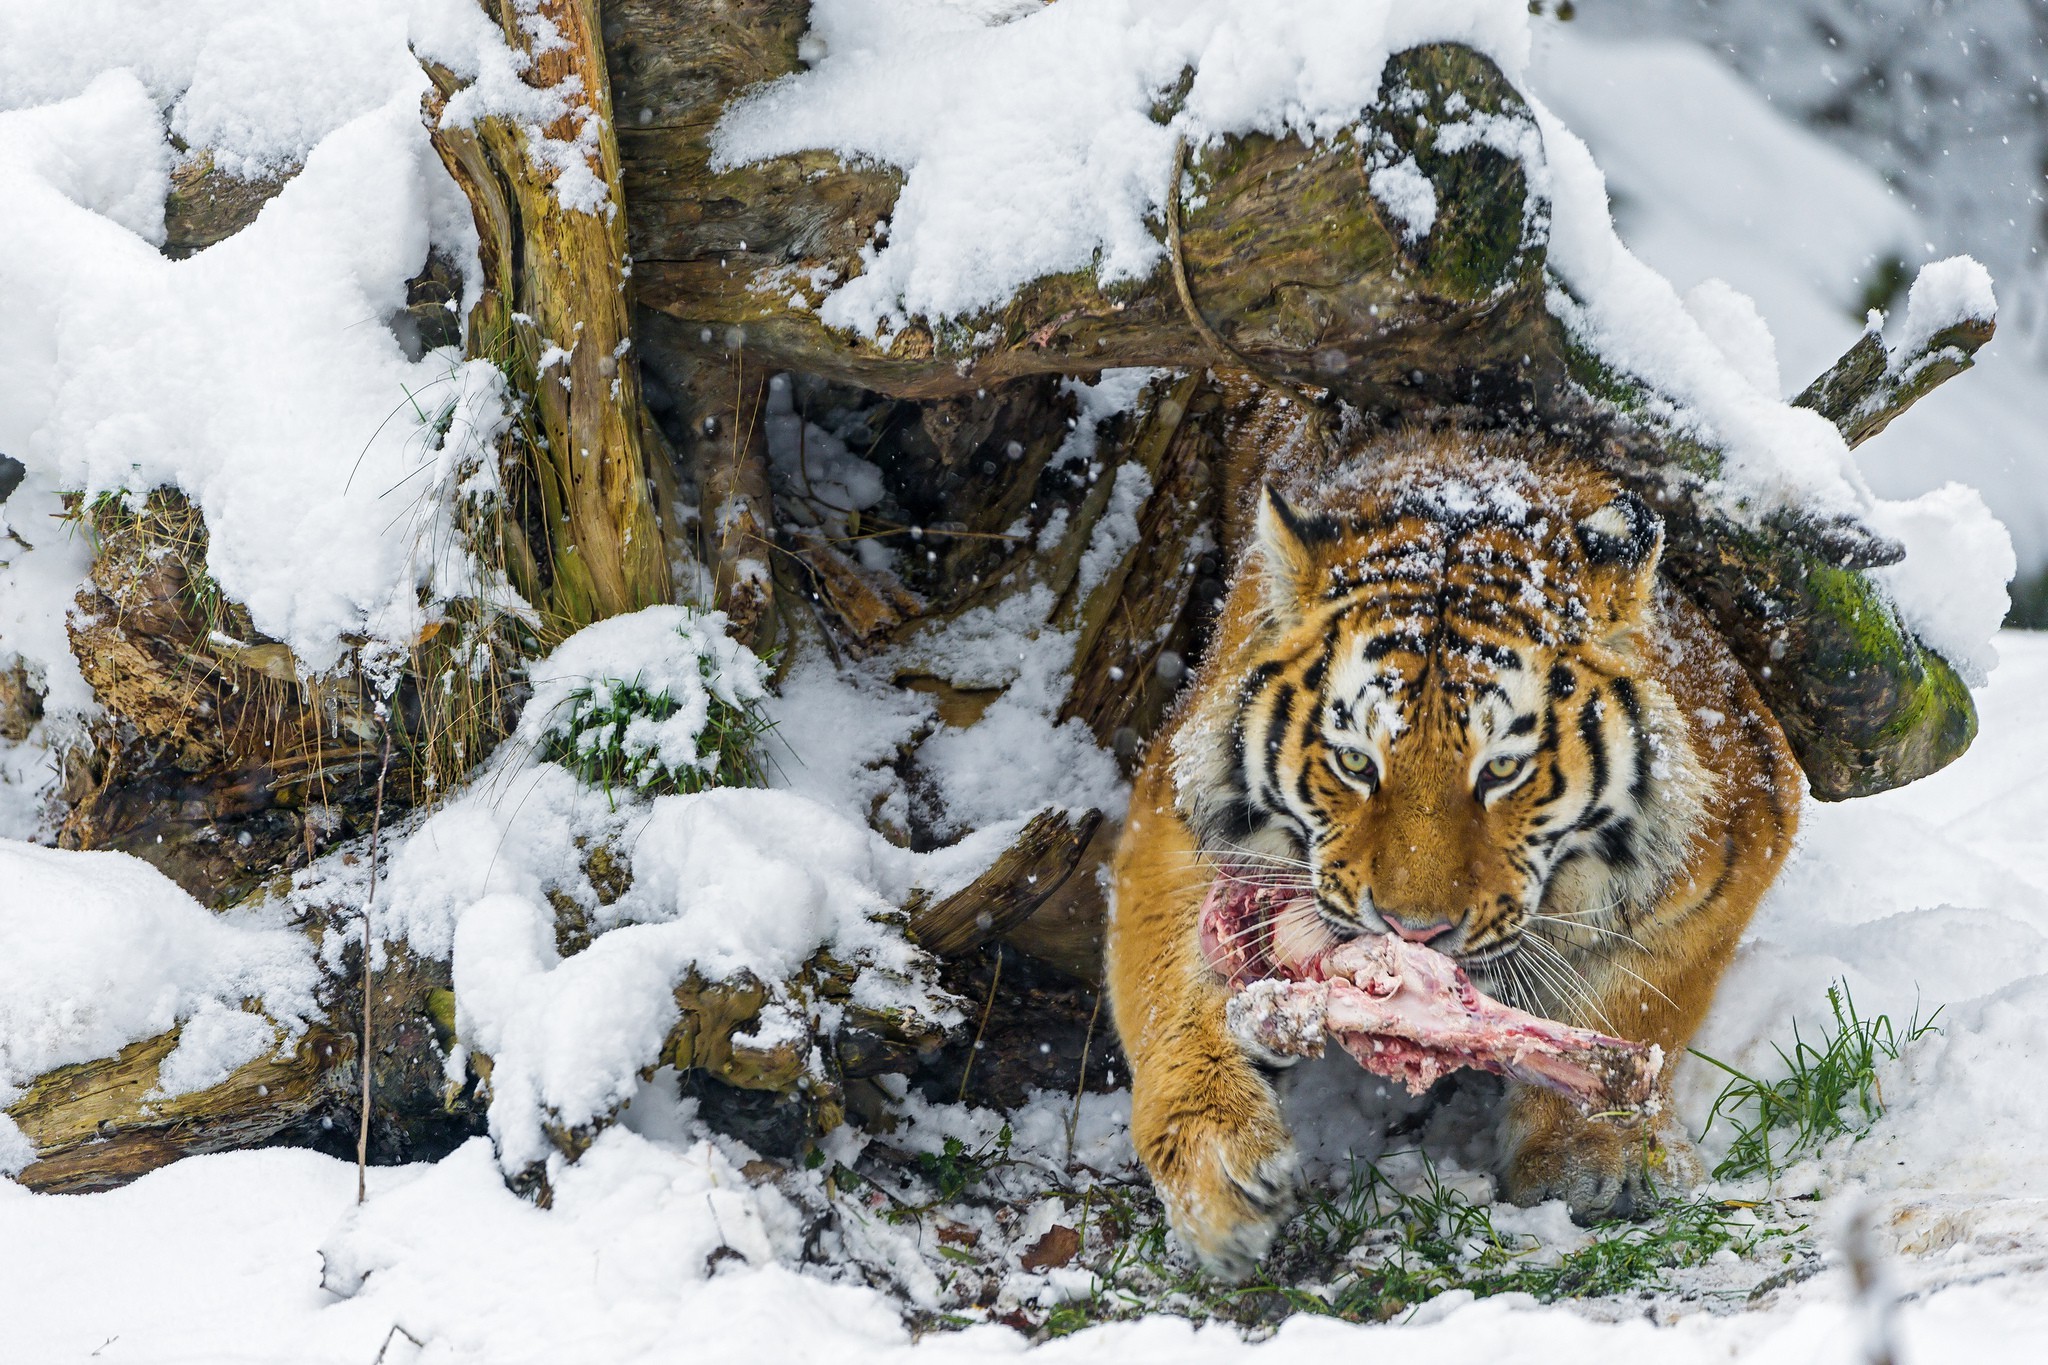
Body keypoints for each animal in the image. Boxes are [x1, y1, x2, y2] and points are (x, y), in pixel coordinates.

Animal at [1106, 424, 1800, 1277]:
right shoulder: (1172, 816)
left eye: (1502, 770)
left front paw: (1593, 1152)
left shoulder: (1726, 848)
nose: (1415, 932)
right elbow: (1166, 994)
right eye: (1356, 763)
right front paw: (1219, 1175)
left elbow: (1637, 1005)